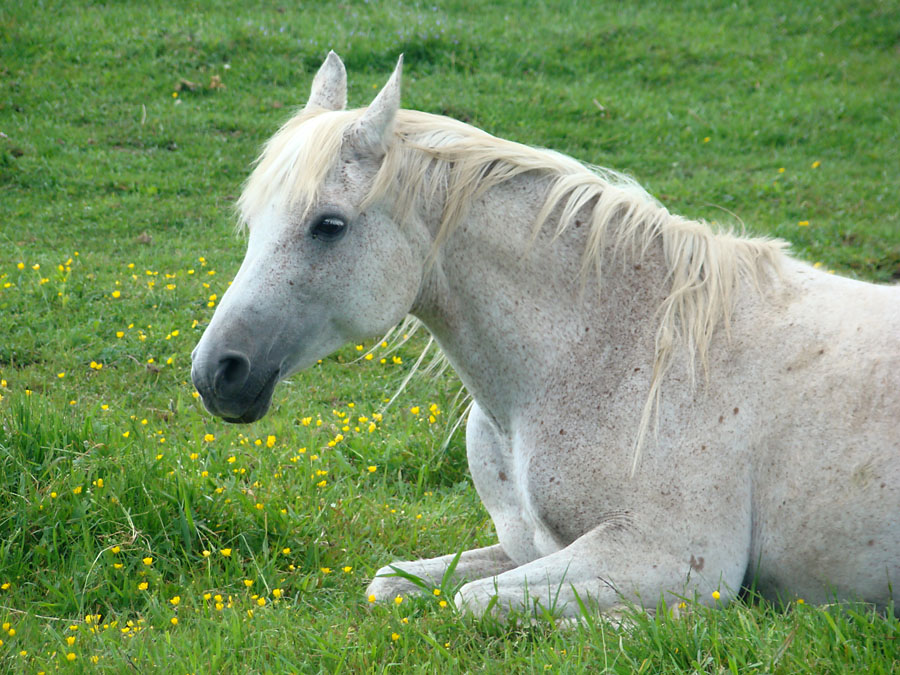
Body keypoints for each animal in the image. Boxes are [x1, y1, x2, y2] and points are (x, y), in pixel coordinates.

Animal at [191, 52, 900, 617]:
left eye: (329, 225)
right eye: (252, 220)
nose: (216, 372)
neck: (615, 349)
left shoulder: (672, 559)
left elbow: (470, 601)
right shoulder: (524, 547)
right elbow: (391, 581)